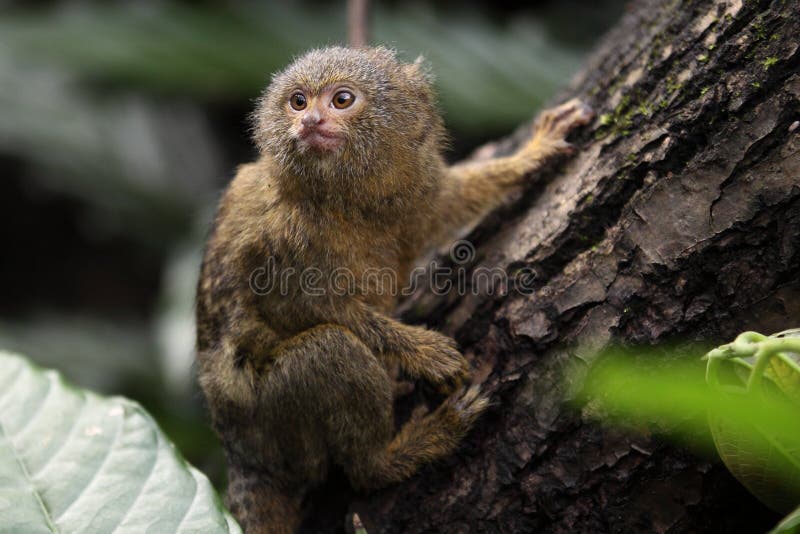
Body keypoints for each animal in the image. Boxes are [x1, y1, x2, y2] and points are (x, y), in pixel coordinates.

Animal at [195, 46, 593, 533]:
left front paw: (533, 152)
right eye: (298, 102)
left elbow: (453, 201)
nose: (310, 122)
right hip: (274, 423)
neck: (341, 201)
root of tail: (245, 457)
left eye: (342, 100)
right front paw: (424, 353)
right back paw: (403, 451)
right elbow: (295, 308)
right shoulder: (281, 237)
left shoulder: (414, 190)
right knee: (332, 356)